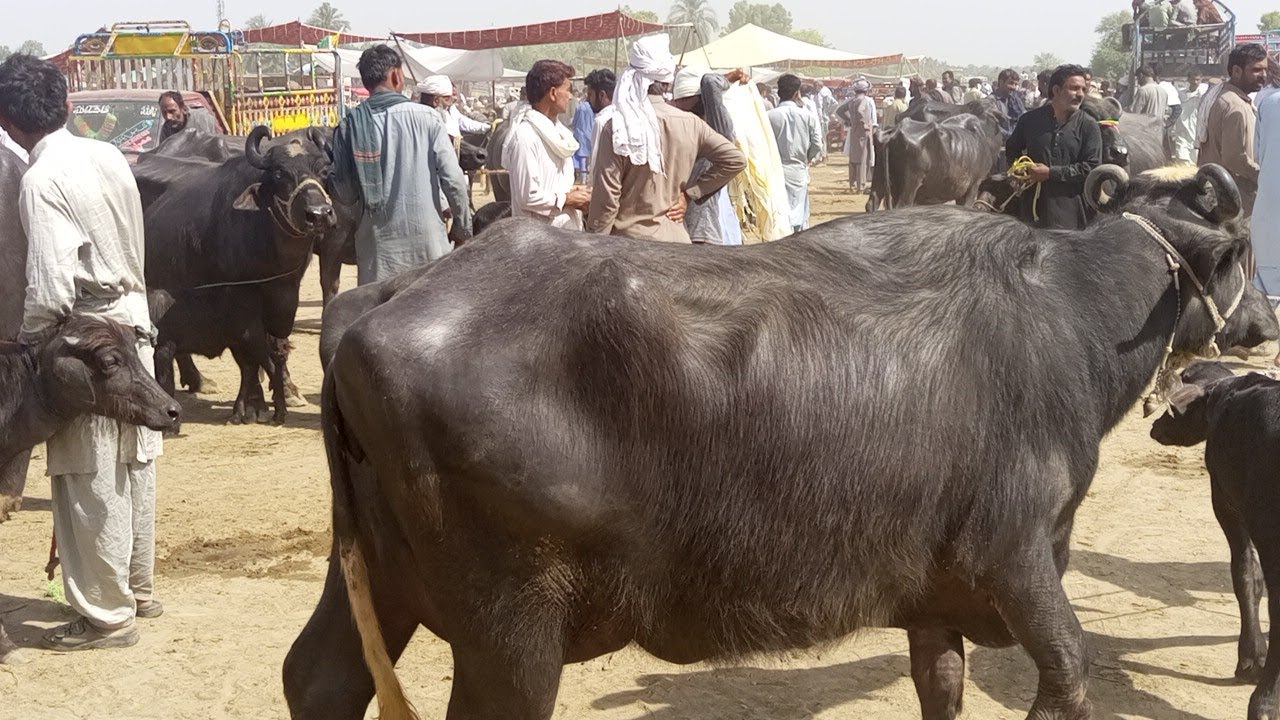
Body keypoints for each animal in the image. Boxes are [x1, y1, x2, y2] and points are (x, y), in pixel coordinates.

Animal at [285, 163, 1253, 720]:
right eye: (1244, 250)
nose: (1263, 321)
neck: (1069, 319)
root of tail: (379, 302)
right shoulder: (1017, 560)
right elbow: (1071, 673)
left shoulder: (934, 598)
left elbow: (942, 684)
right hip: (511, 634)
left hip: (375, 580)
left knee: (319, 679)